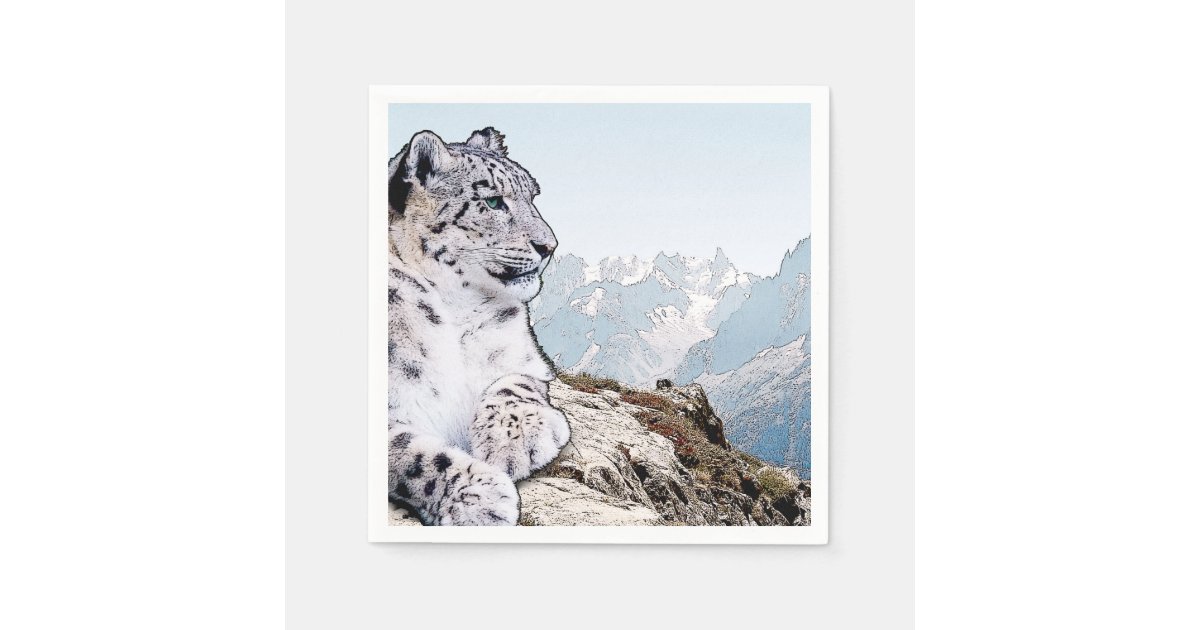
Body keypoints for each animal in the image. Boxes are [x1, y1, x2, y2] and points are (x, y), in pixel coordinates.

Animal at [386, 127, 570, 526]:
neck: (456, 309)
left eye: (532, 196)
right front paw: (476, 499)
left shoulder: (525, 358)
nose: (549, 246)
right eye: (494, 201)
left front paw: (514, 439)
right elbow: (409, 453)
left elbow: (514, 383)